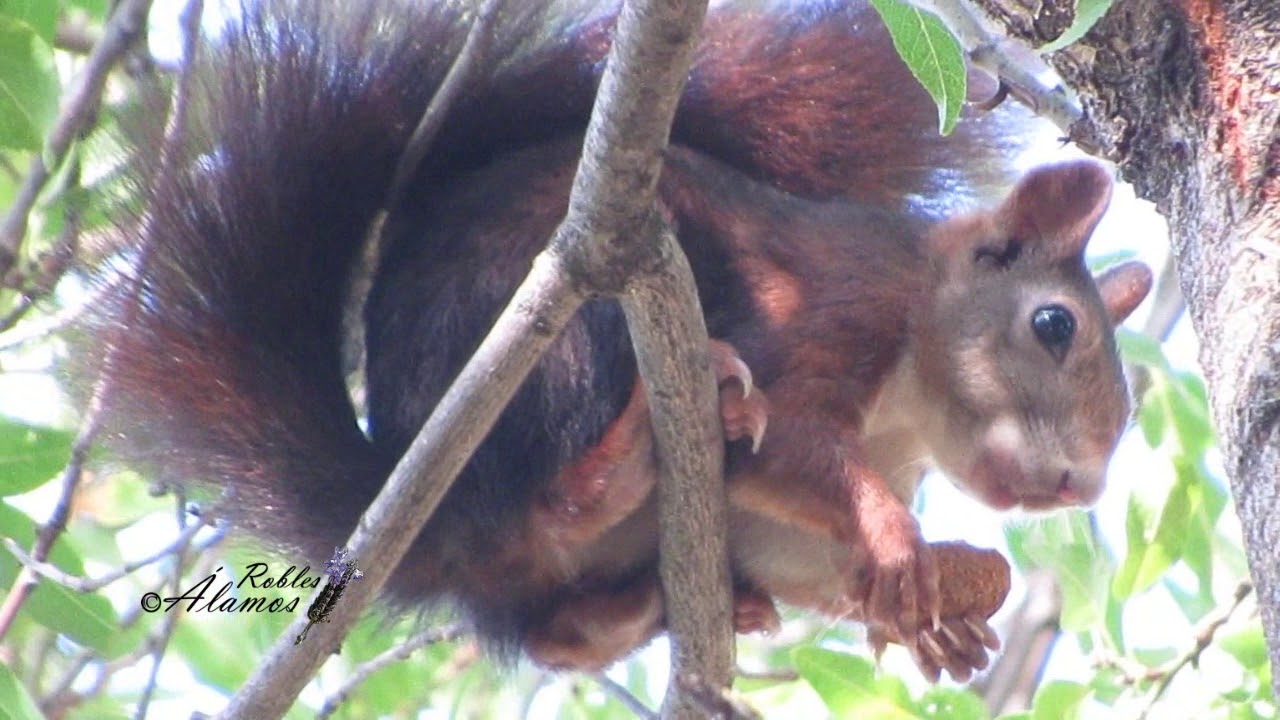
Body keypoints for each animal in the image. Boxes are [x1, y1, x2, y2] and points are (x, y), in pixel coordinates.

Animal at [82, 0, 1152, 683]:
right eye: (1052, 325)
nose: (1080, 486)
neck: (911, 403)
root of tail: (438, 506)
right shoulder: (828, 312)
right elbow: (788, 446)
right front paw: (895, 537)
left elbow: (804, 554)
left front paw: (952, 603)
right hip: (569, 344)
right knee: (554, 502)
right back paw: (624, 464)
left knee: (550, 634)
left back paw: (638, 612)